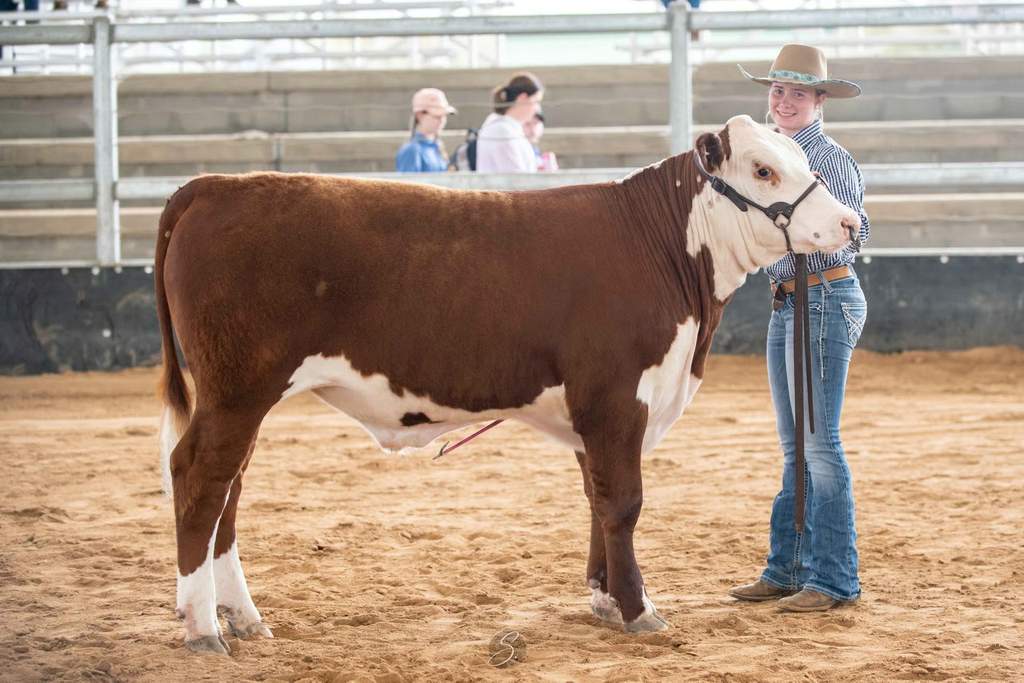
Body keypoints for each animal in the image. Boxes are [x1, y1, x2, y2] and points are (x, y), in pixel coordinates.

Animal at [155, 114, 859, 653]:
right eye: (763, 170)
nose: (850, 224)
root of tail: (212, 186)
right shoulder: (616, 397)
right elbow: (623, 503)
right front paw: (639, 611)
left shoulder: (590, 410)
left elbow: (596, 499)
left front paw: (606, 600)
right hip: (236, 387)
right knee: (198, 478)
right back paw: (202, 628)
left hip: (243, 396)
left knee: (229, 489)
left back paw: (244, 619)